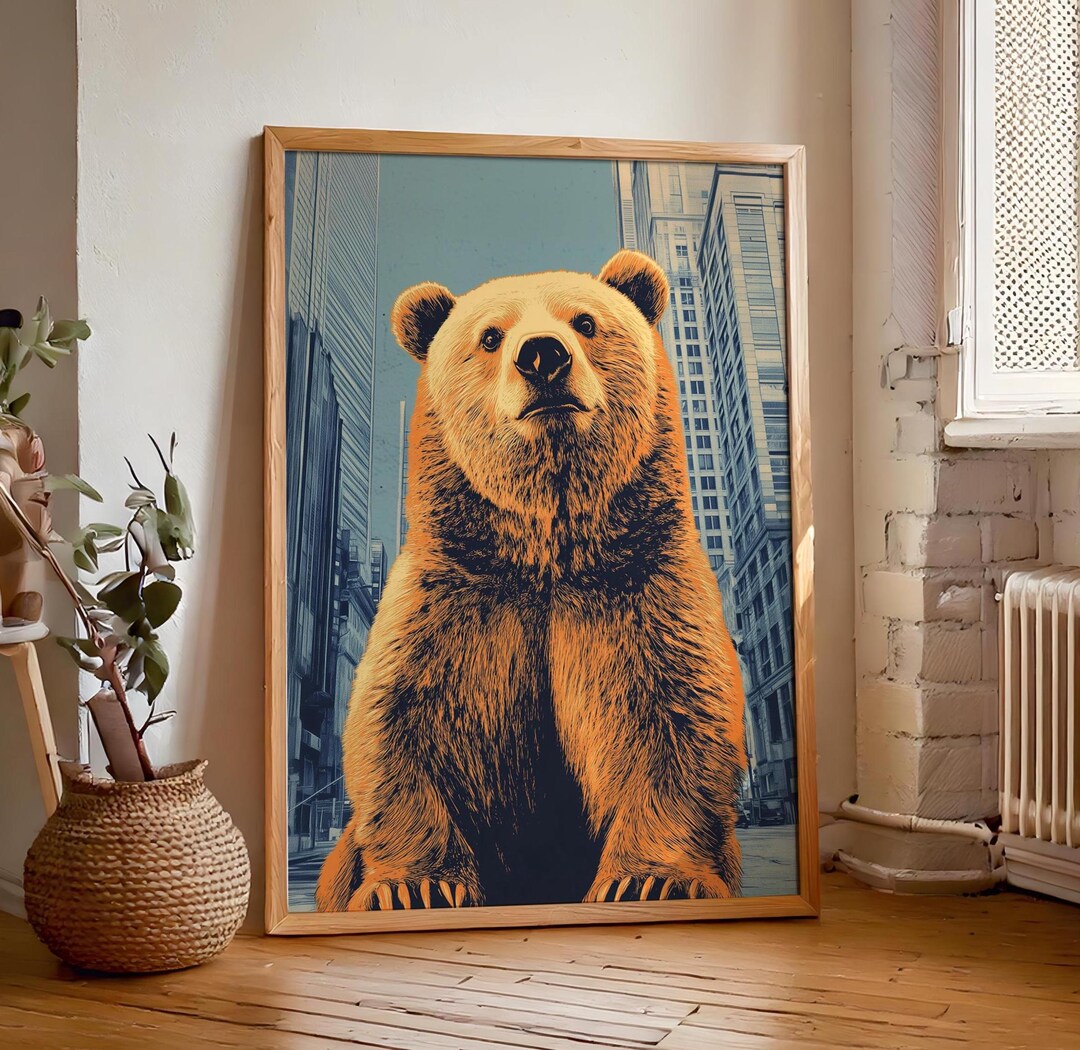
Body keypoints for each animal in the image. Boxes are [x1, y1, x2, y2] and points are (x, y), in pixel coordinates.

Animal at [316, 249, 747, 912]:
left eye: (586, 322)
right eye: (490, 336)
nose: (542, 354)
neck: (548, 545)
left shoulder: (642, 585)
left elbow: (680, 714)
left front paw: (650, 879)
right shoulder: (454, 596)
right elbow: (397, 721)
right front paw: (417, 889)